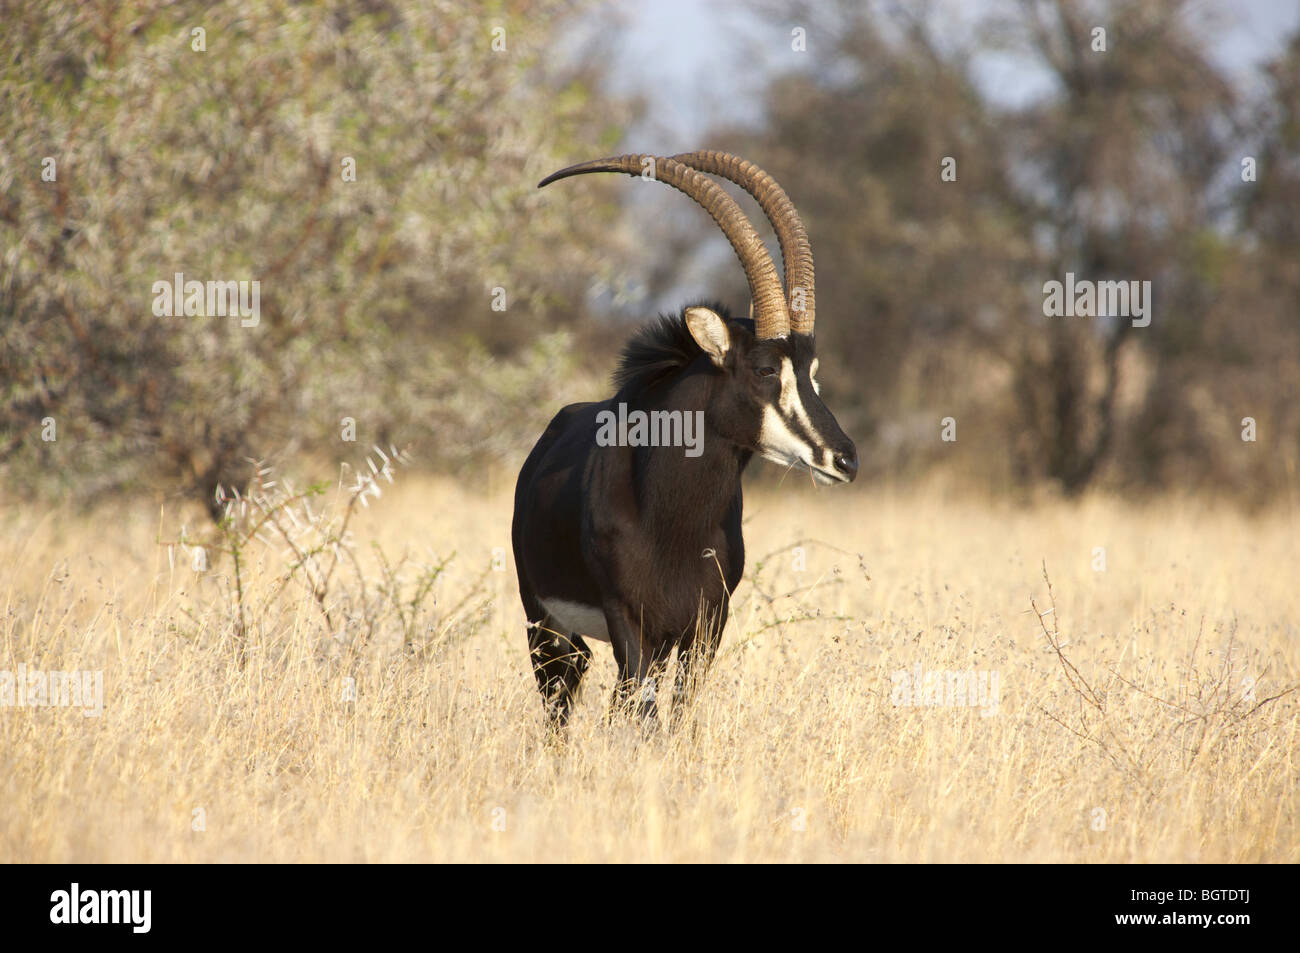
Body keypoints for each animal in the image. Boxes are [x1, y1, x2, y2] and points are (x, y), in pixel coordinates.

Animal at [512, 151, 858, 728]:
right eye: (766, 369)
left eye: (812, 372)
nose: (845, 459)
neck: (669, 515)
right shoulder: (627, 619)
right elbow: (644, 713)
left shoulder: (706, 623)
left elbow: (678, 712)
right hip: (544, 623)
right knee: (561, 697)